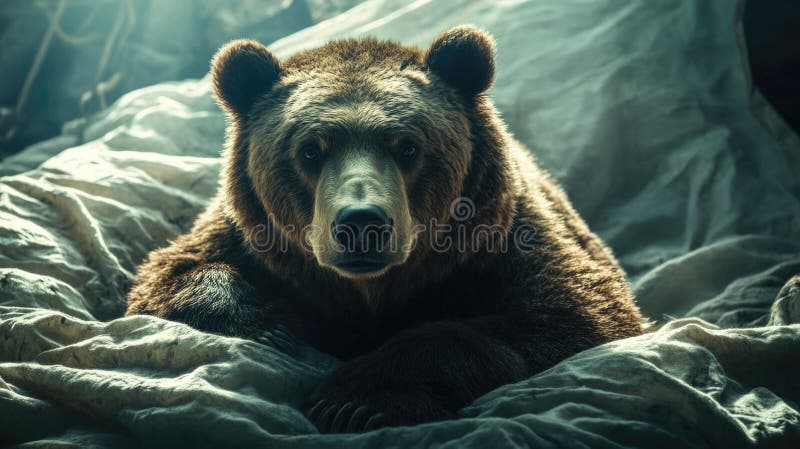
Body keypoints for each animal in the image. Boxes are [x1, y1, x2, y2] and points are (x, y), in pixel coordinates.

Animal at [126, 26, 644, 433]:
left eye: (408, 146)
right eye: (310, 149)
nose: (362, 223)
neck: (372, 292)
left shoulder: (499, 246)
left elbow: (569, 317)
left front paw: (354, 400)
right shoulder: (252, 241)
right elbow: (170, 275)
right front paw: (267, 325)